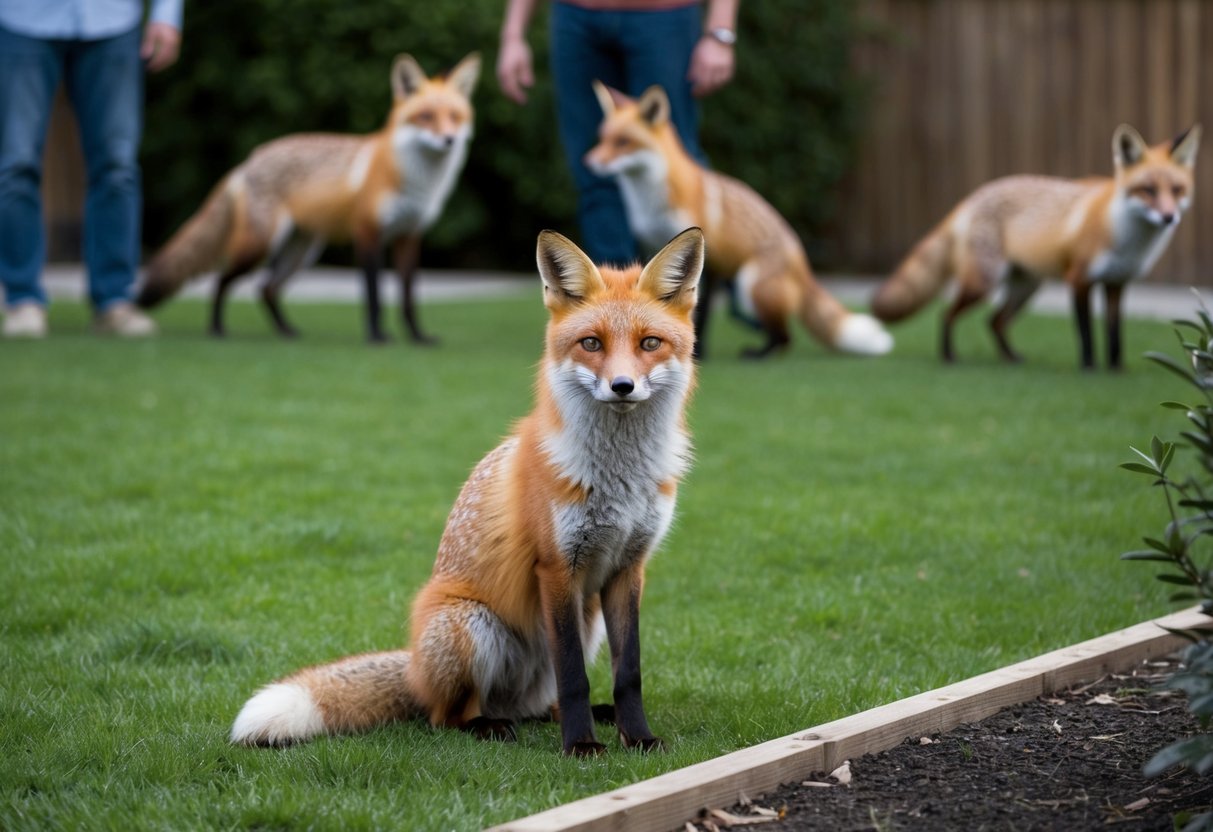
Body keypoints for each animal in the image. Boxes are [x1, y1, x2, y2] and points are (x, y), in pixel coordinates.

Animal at [136, 52, 480, 344]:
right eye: (425, 116)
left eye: (454, 116)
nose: (448, 140)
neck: (416, 182)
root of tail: (250, 159)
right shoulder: (367, 233)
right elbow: (373, 296)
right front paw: (376, 337)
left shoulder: (409, 234)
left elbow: (409, 298)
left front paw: (417, 338)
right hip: (261, 246)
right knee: (222, 280)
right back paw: (217, 329)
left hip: (301, 252)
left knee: (266, 289)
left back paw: (286, 332)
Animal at [229, 228, 705, 755]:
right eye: (591, 343)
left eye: (649, 343)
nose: (622, 386)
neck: (618, 480)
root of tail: (416, 669)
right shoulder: (556, 566)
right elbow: (574, 676)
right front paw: (580, 747)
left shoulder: (628, 567)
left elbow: (629, 673)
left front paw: (636, 736)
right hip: (473, 626)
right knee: (449, 716)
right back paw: (489, 726)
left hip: (589, 620)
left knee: (541, 704)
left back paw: (563, 715)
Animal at [584, 83, 892, 360]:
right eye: (602, 139)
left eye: (623, 142)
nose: (589, 163)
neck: (650, 202)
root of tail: (801, 257)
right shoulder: (653, 248)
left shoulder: (710, 261)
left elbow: (701, 315)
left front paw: (698, 353)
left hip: (749, 284)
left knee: (784, 336)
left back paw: (760, 354)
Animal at [871, 123, 1202, 369]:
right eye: (1147, 190)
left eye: (1177, 190)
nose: (1169, 217)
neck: (1127, 240)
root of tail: (973, 196)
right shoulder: (1078, 280)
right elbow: (1086, 334)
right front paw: (1089, 368)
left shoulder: (1117, 283)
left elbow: (1115, 336)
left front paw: (1116, 370)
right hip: (984, 284)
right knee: (947, 315)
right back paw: (949, 357)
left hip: (1026, 288)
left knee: (994, 321)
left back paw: (1011, 358)